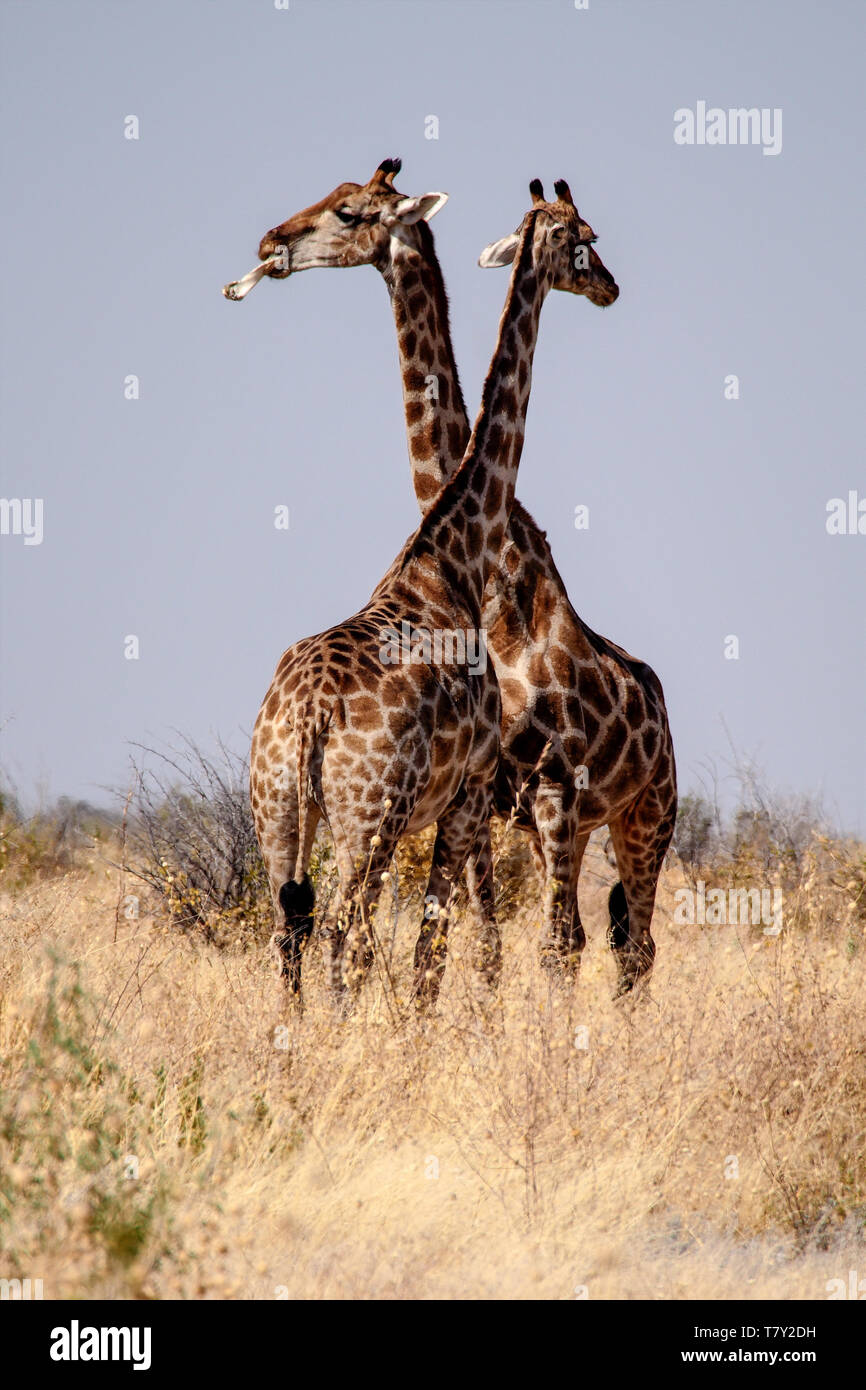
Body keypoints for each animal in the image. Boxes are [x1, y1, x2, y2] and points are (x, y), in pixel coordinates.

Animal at [226, 160, 676, 996]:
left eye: (346, 209)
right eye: (585, 235)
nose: (270, 244)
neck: (459, 559)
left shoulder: (517, 796)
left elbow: (463, 951)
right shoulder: (486, 795)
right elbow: (456, 951)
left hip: (634, 815)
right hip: (387, 820)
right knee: (349, 942)